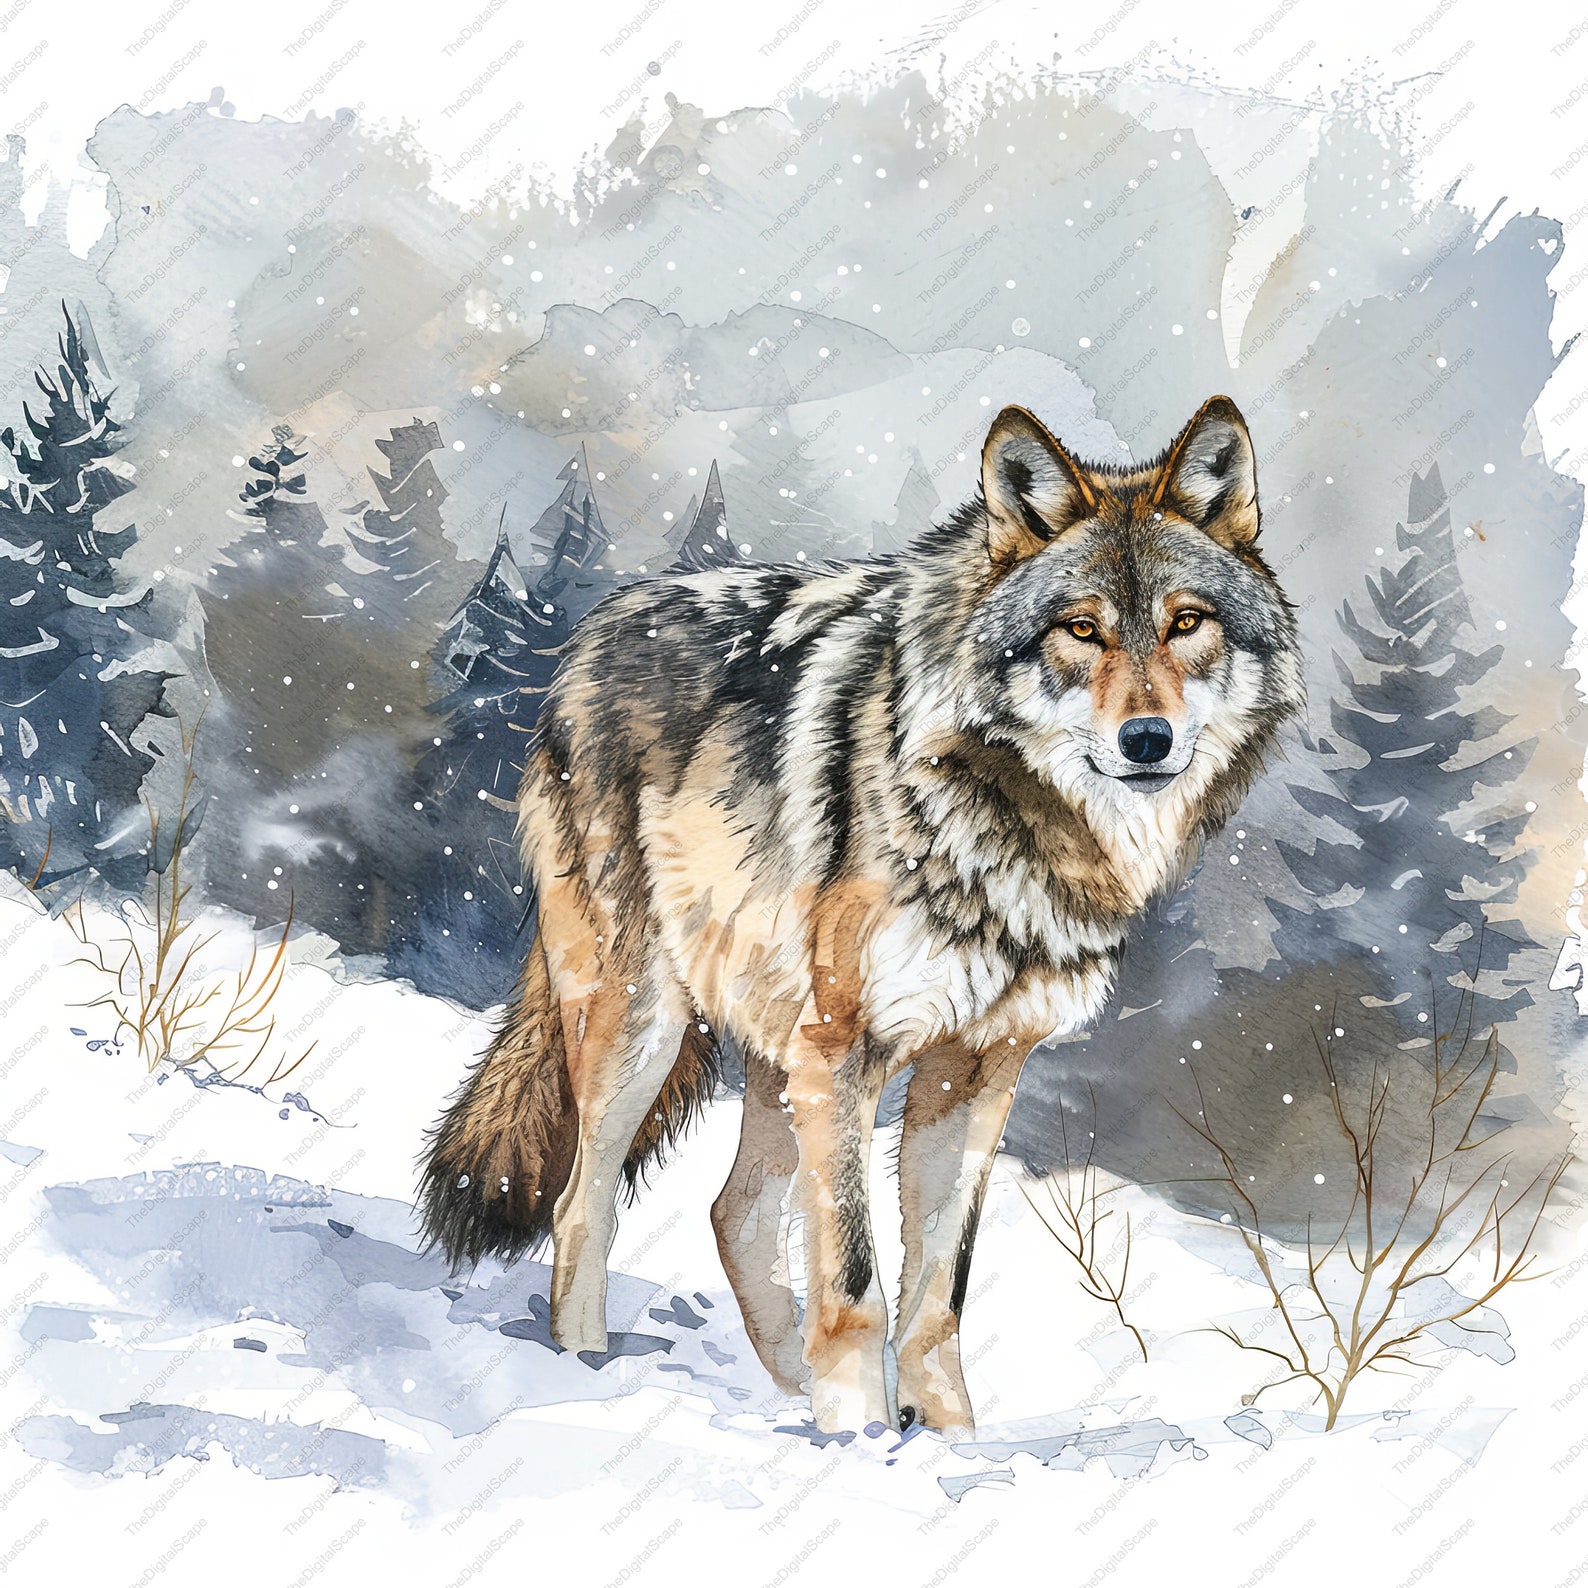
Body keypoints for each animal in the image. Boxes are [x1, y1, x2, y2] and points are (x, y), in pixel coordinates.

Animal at [417, 395, 1305, 1436]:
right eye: (1080, 629)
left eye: (1187, 622)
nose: (1148, 739)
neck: (1006, 821)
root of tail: (590, 637)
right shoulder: (847, 1052)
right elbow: (853, 1282)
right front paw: (863, 1437)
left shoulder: (976, 1070)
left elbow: (935, 1294)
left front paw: (940, 1439)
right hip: (645, 1024)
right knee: (580, 1208)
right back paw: (590, 1376)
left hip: (773, 1049)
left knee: (734, 1215)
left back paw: (783, 1395)